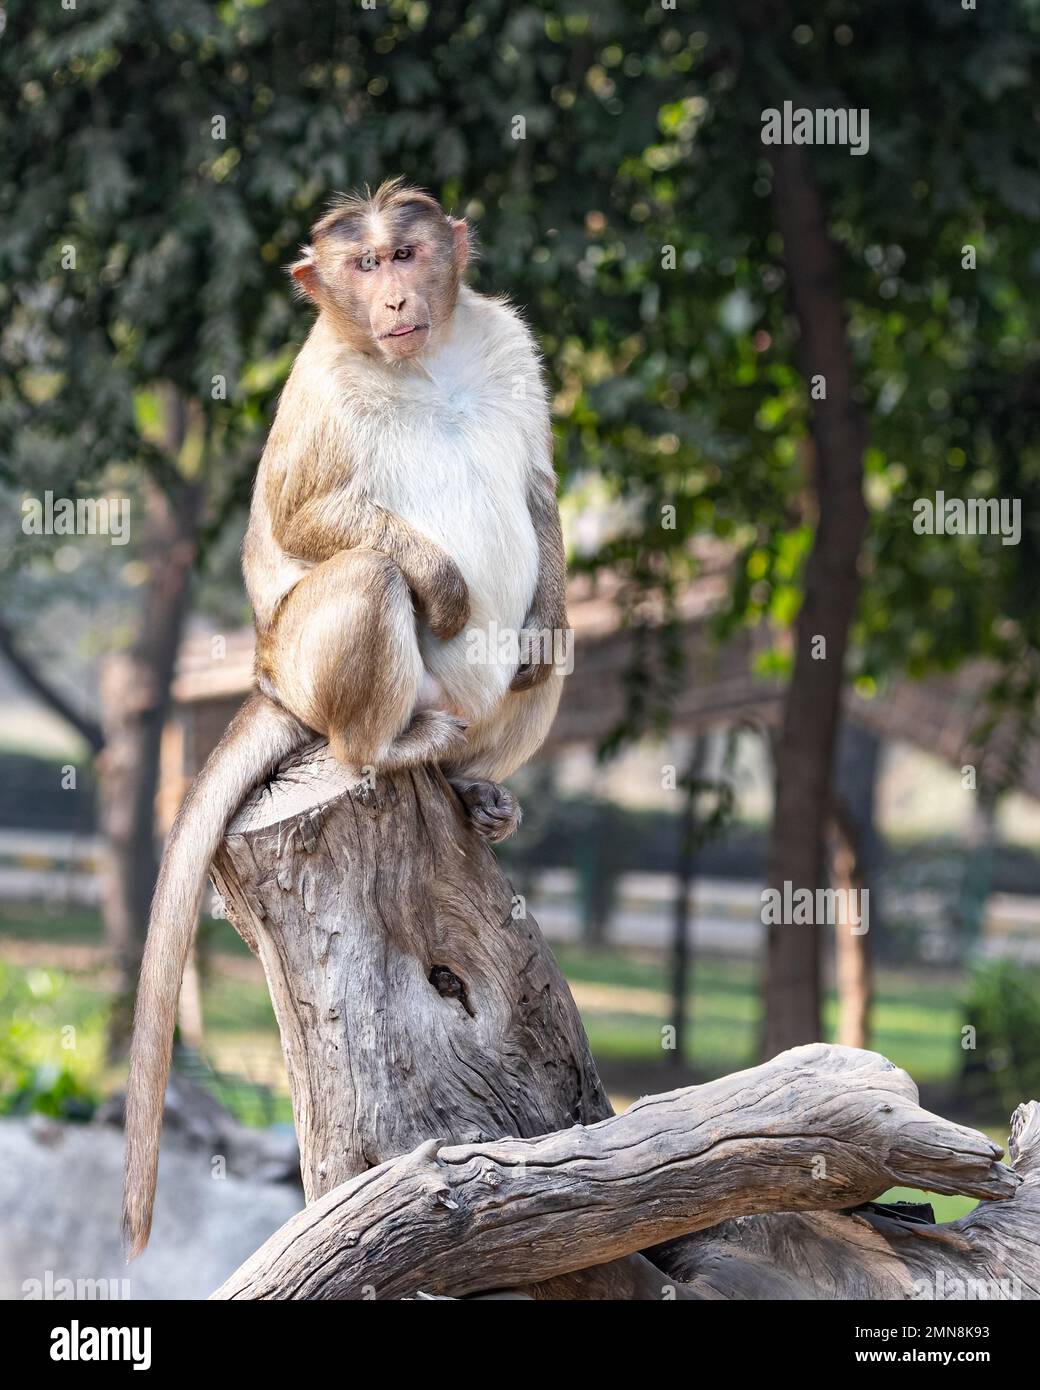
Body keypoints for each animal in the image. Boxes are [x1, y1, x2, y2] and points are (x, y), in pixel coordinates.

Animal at [121, 179, 569, 1259]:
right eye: (362, 266)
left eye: (405, 253)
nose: (395, 297)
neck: (421, 360)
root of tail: (267, 676)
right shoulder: (319, 382)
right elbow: (305, 514)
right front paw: (444, 585)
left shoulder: (511, 340)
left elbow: (538, 490)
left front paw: (547, 610)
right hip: (310, 665)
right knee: (366, 574)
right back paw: (393, 743)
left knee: (537, 664)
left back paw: (478, 787)